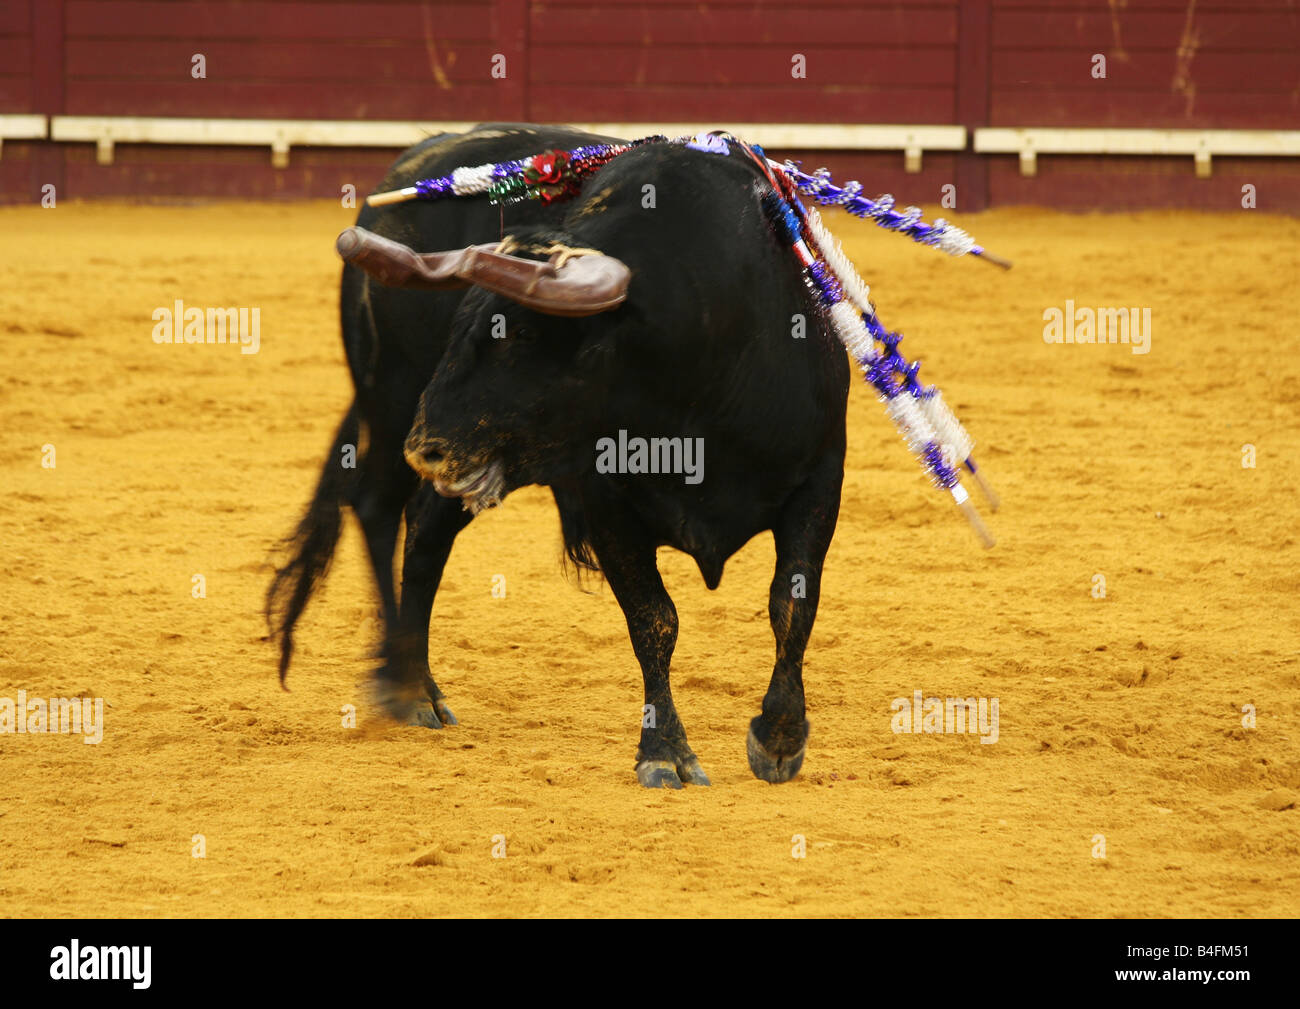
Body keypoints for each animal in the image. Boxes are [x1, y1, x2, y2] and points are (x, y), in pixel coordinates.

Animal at [269, 124, 850, 788]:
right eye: (459, 325)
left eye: (521, 335)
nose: (428, 449)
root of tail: (420, 154)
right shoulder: (604, 498)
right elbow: (654, 617)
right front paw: (666, 753)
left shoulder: (820, 480)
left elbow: (792, 604)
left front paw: (779, 737)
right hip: (390, 404)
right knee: (378, 510)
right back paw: (405, 685)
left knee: (426, 535)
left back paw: (420, 684)